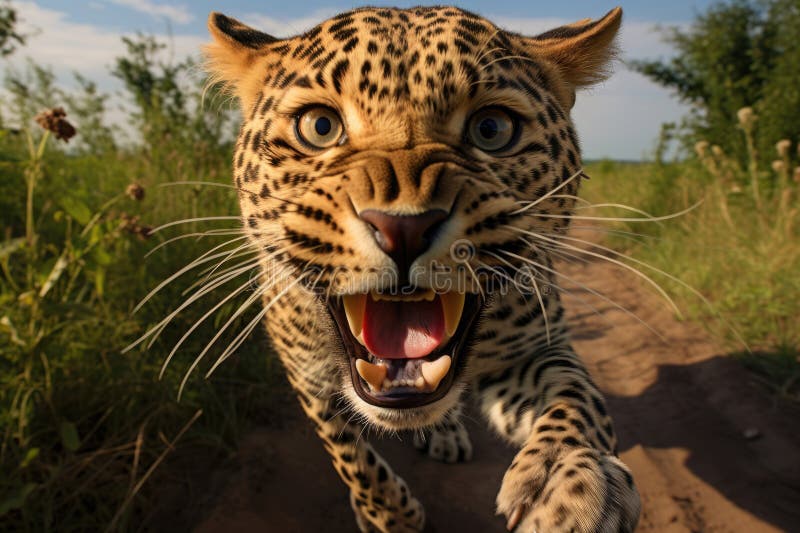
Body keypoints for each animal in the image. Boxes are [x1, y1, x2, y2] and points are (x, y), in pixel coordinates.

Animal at [204, 5, 640, 532]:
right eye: (320, 127)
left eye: (492, 129)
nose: (402, 227)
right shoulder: (309, 380)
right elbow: (351, 457)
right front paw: (390, 516)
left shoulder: (532, 347)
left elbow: (577, 395)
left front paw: (574, 482)